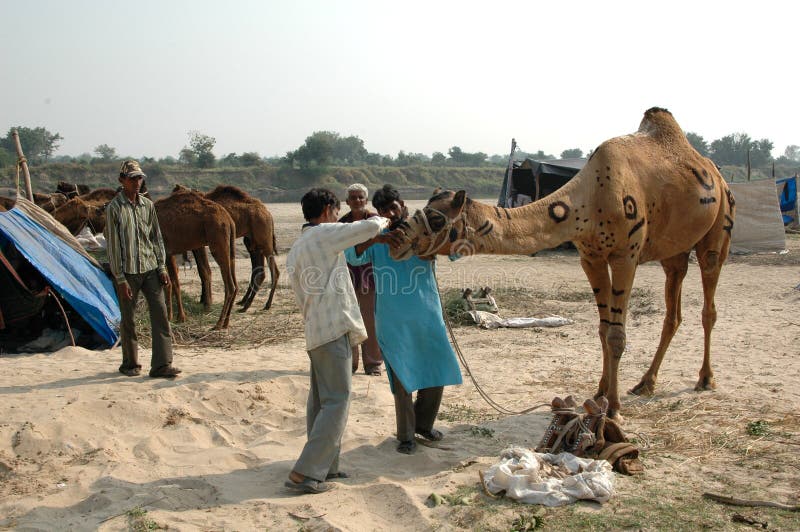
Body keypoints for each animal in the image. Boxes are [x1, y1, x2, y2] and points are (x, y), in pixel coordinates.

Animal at [154, 188, 238, 330]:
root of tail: (229, 219)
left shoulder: (167, 250)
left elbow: (173, 283)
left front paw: (177, 317)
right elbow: (169, 283)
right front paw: (174, 316)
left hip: (217, 239)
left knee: (230, 285)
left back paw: (218, 323)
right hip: (229, 243)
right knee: (235, 283)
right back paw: (226, 323)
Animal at [172, 184, 280, 312]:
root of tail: (268, 213)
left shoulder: (199, 244)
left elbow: (203, 270)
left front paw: (206, 303)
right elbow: (201, 270)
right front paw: (203, 300)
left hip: (263, 237)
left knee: (274, 271)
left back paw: (265, 304)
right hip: (251, 241)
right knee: (259, 271)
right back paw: (244, 302)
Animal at [390, 107, 735, 420]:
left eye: (436, 218)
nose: (396, 238)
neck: (588, 201)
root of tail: (717, 174)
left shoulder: (625, 255)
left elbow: (616, 335)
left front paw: (614, 409)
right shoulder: (591, 257)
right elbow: (603, 329)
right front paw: (600, 392)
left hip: (719, 230)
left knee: (709, 304)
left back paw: (705, 379)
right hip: (673, 252)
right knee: (673, 311)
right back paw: (645, 383)